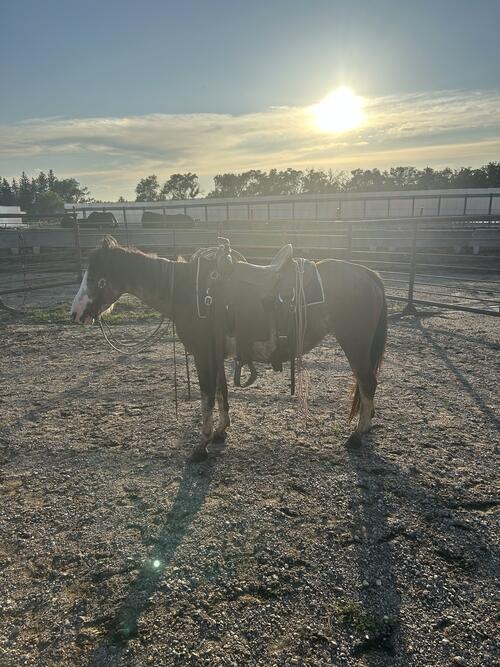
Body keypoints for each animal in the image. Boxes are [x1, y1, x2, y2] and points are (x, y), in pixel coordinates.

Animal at [71, 236, 387, 460]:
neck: (187, 291)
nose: (76, 314)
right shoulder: (216, 354)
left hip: (355, 345)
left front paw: (201, 445)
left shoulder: (203, 354)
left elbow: (206, 398)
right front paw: (221, 432)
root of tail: (369, 275)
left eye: (97, 277)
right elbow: (221, 392)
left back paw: (357, 436)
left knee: (367, 383)